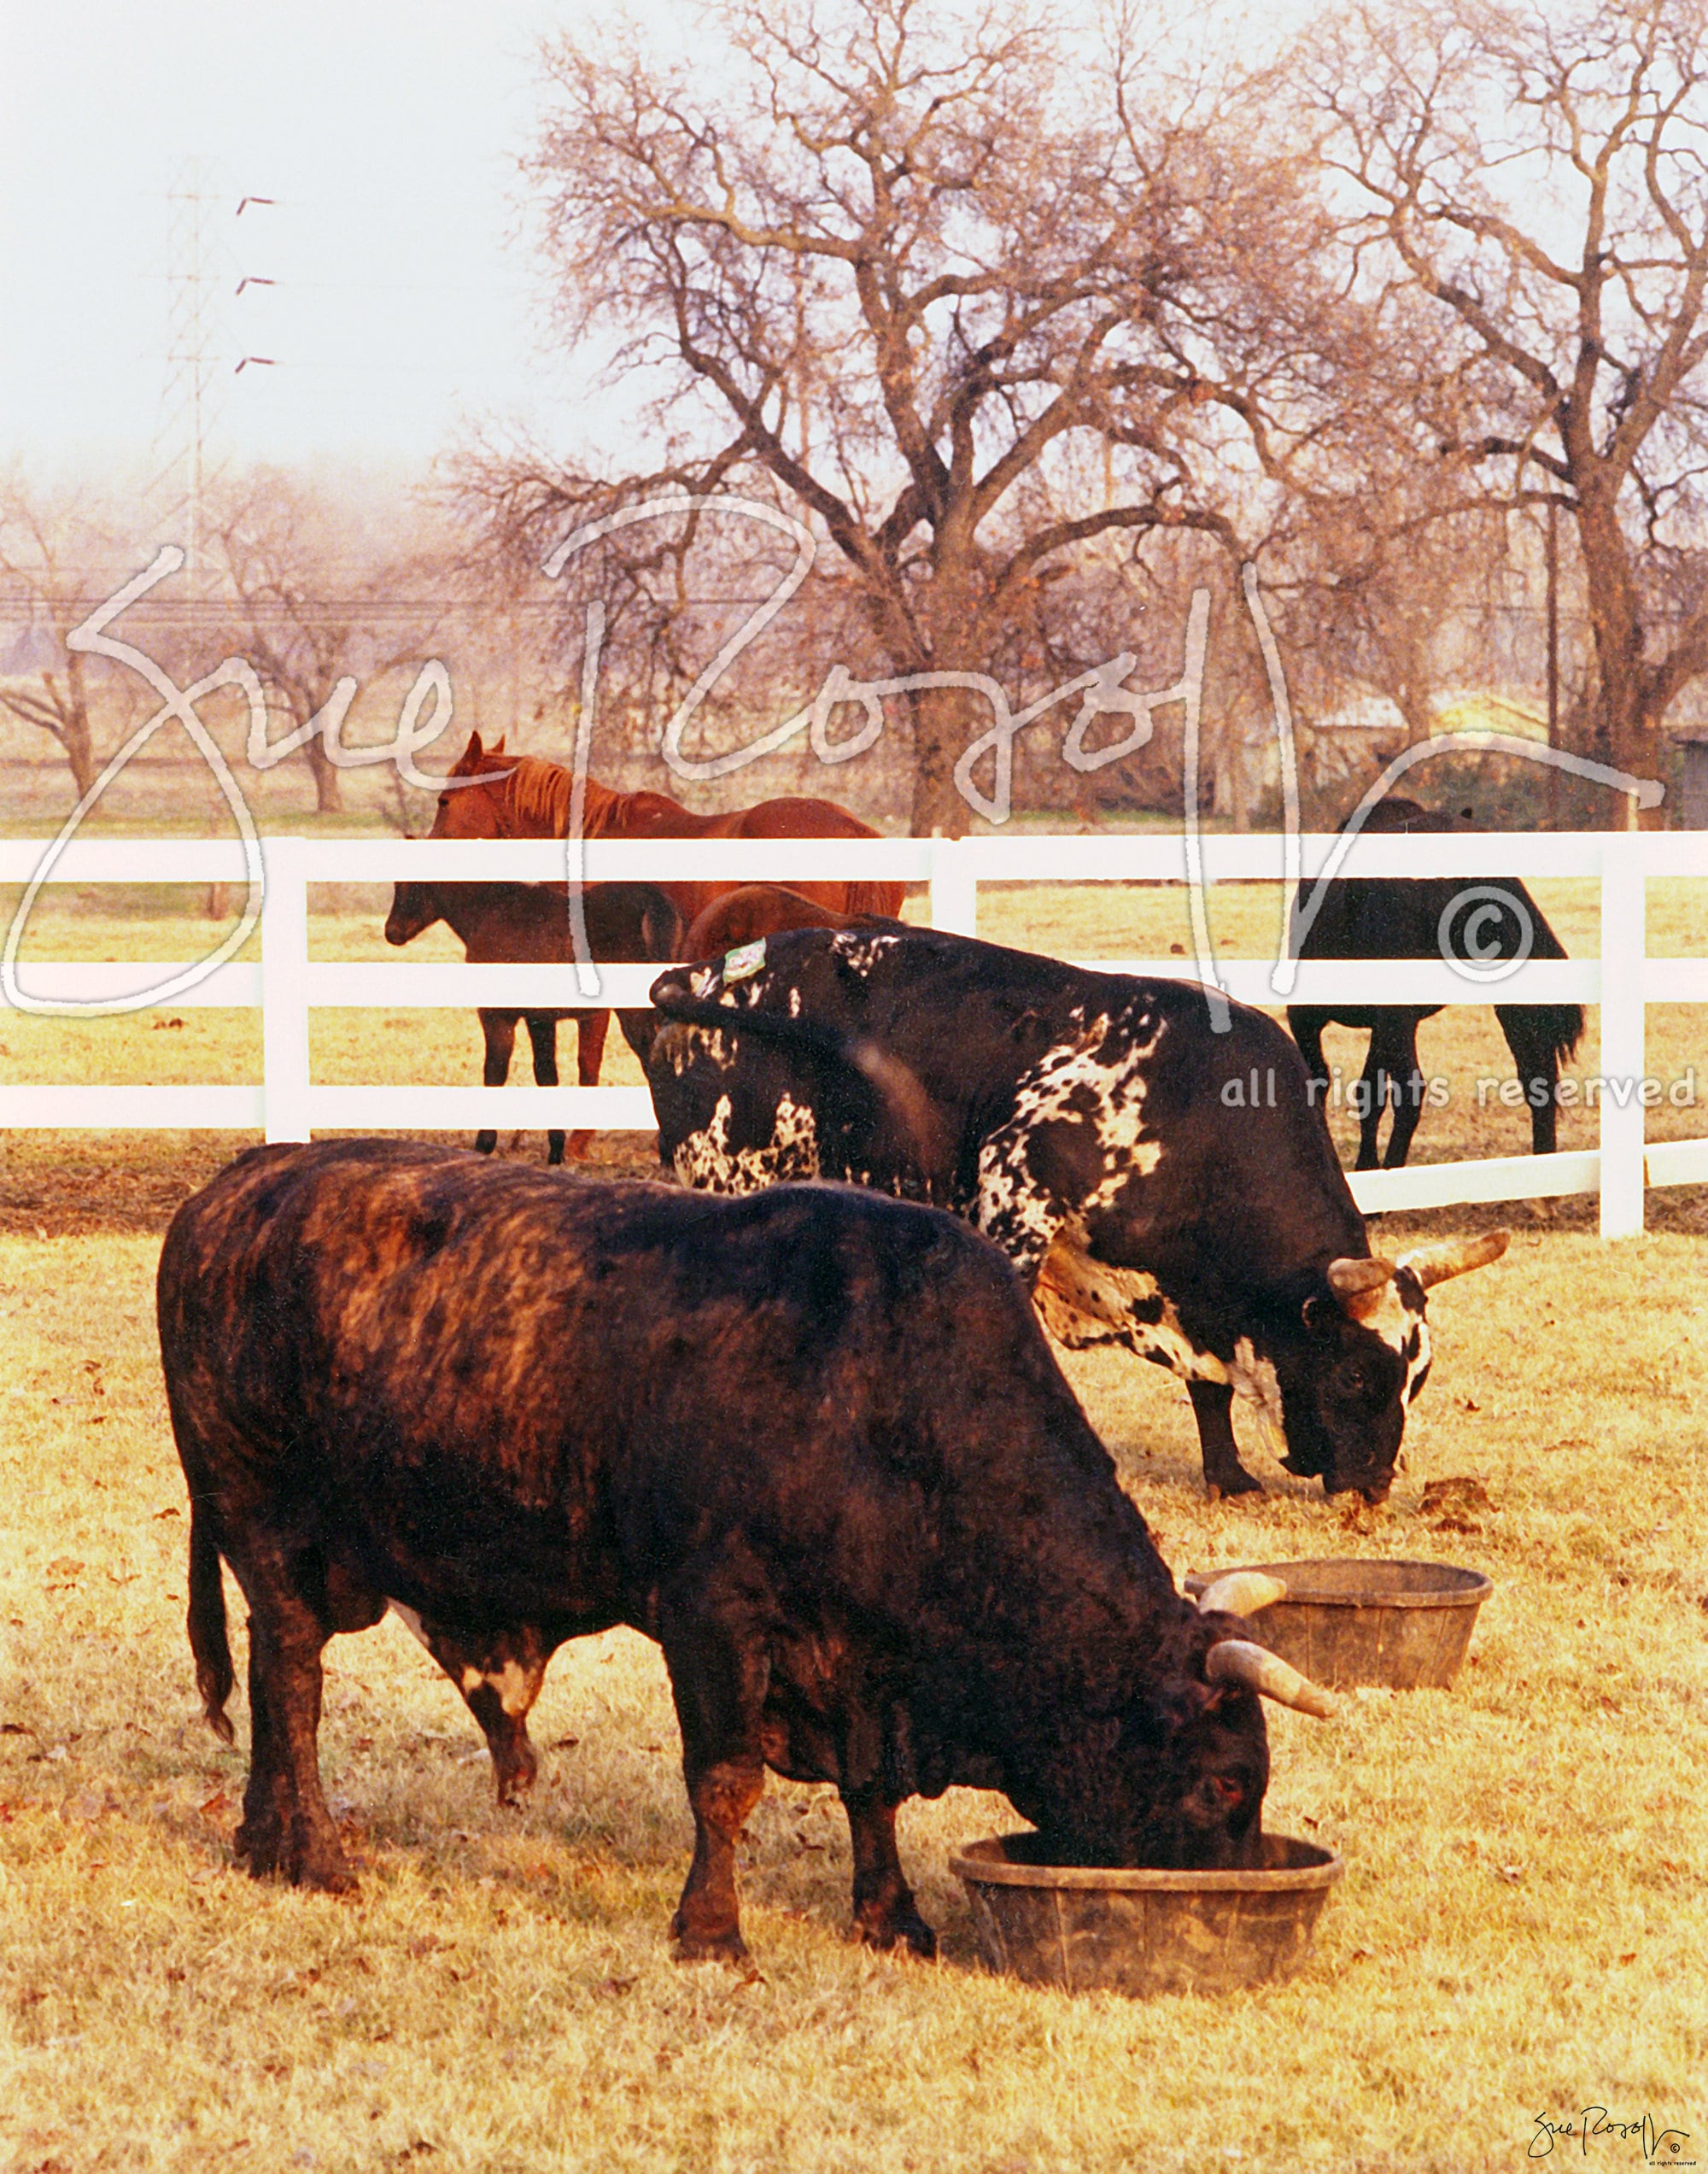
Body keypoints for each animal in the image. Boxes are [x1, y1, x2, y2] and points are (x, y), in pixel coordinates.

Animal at [158, 1139, 1331, 1965]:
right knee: (295, 1681)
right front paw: (711, 1930)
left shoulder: (861, 1668)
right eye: (1223, 1784)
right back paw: (314, 1854)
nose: (1235, 1897)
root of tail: (233, 1189)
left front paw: (892, 1916)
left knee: (276, 1675)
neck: (883, 1404)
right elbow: (723, 1781)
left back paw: (262, 1841)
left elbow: (871, 1798)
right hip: (264, 1523)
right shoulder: (713, 1620)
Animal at [643, 926, 1509, 1503]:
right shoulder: (1017, 1202)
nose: (1373, 1484)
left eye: (1419, 1377)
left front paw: (1229, 1473)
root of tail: (705, 975)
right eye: (1358, 1372)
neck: (1190, 1111)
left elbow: (1210, 1389)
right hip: (729, 1179)